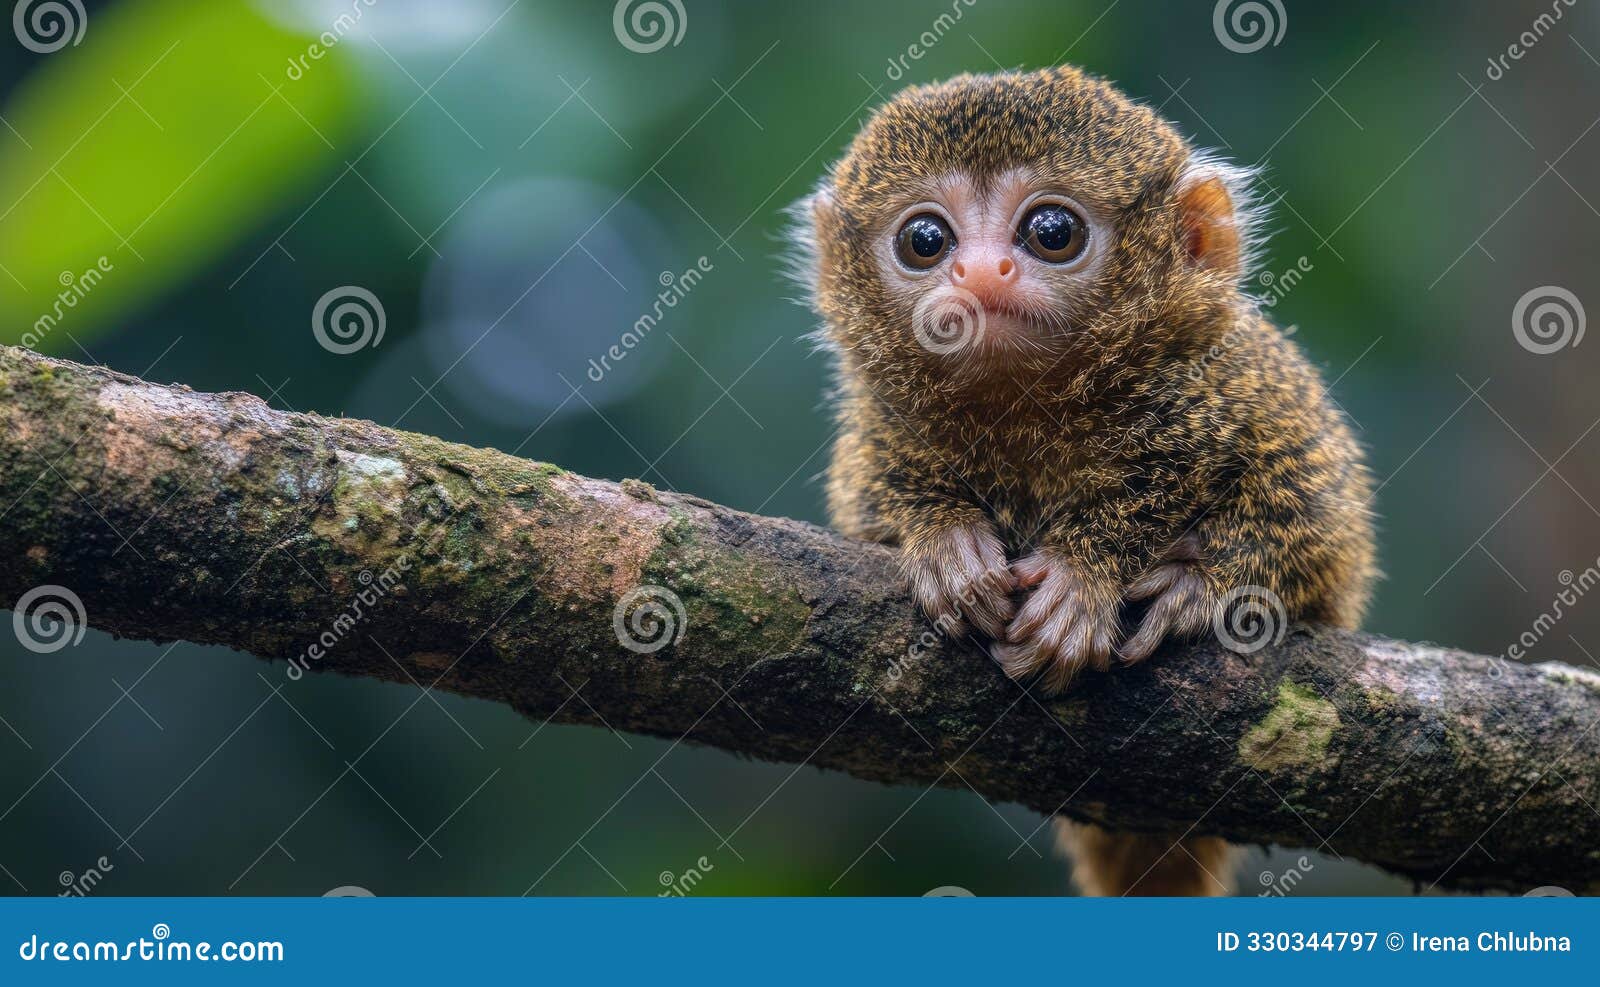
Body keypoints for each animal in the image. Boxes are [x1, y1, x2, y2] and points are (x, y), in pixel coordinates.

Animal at [794, 66, 1376, 896]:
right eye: (924, 241)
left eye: (1052, 231)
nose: (979, 272)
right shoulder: (880, 435)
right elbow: (876, 502)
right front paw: (944, 540)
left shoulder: (1247, 383)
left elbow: (1325, 529)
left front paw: (1142, 577)